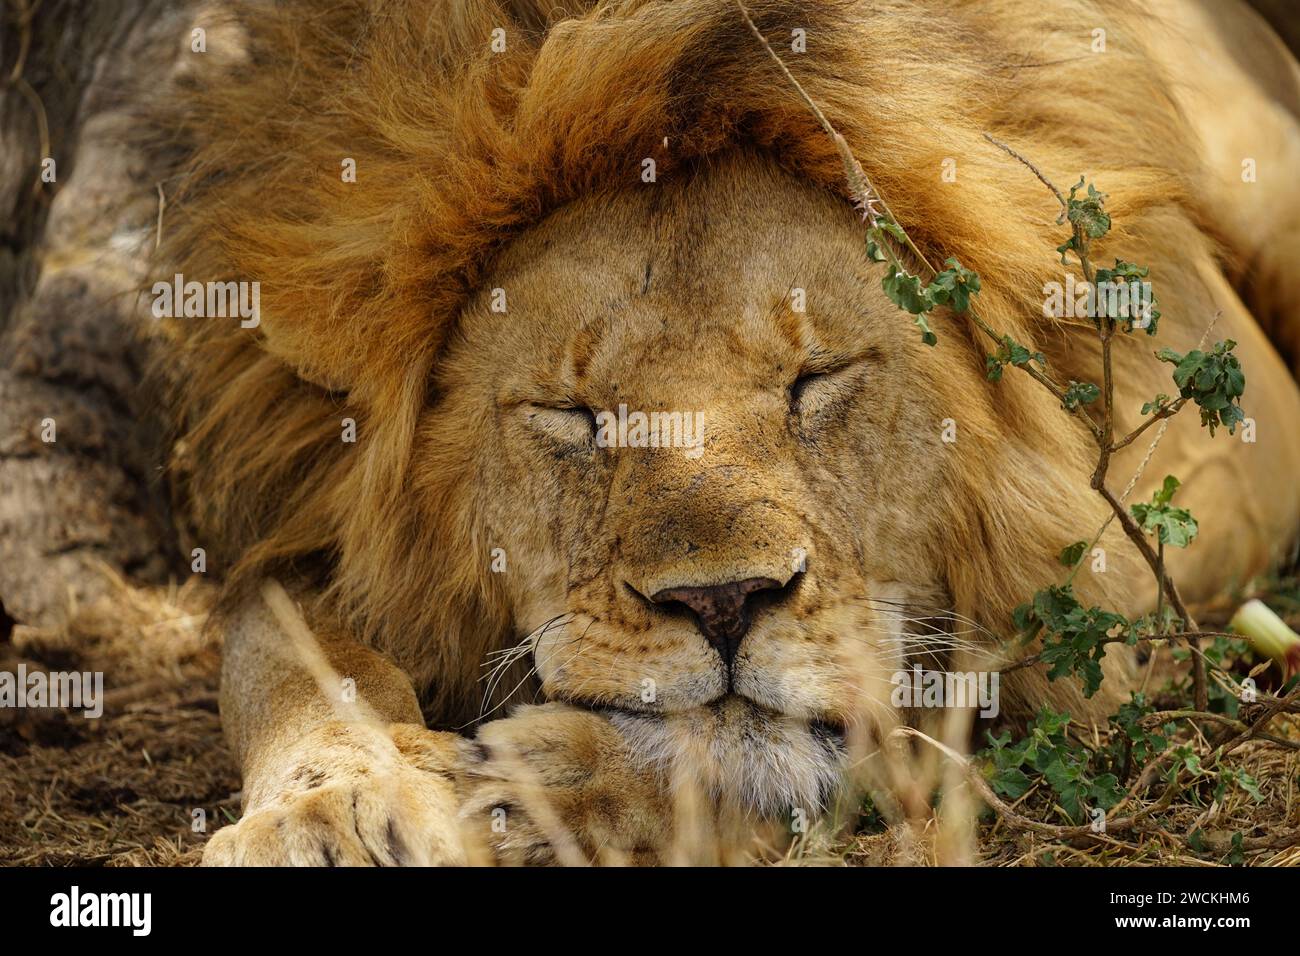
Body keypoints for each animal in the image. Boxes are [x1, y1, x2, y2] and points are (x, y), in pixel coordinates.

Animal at [150, 0, 1300, 865]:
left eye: (815, 380)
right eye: (574, 414)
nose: (723, 602)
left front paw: (541, 777)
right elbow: (281, 656)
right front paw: (322, 809)